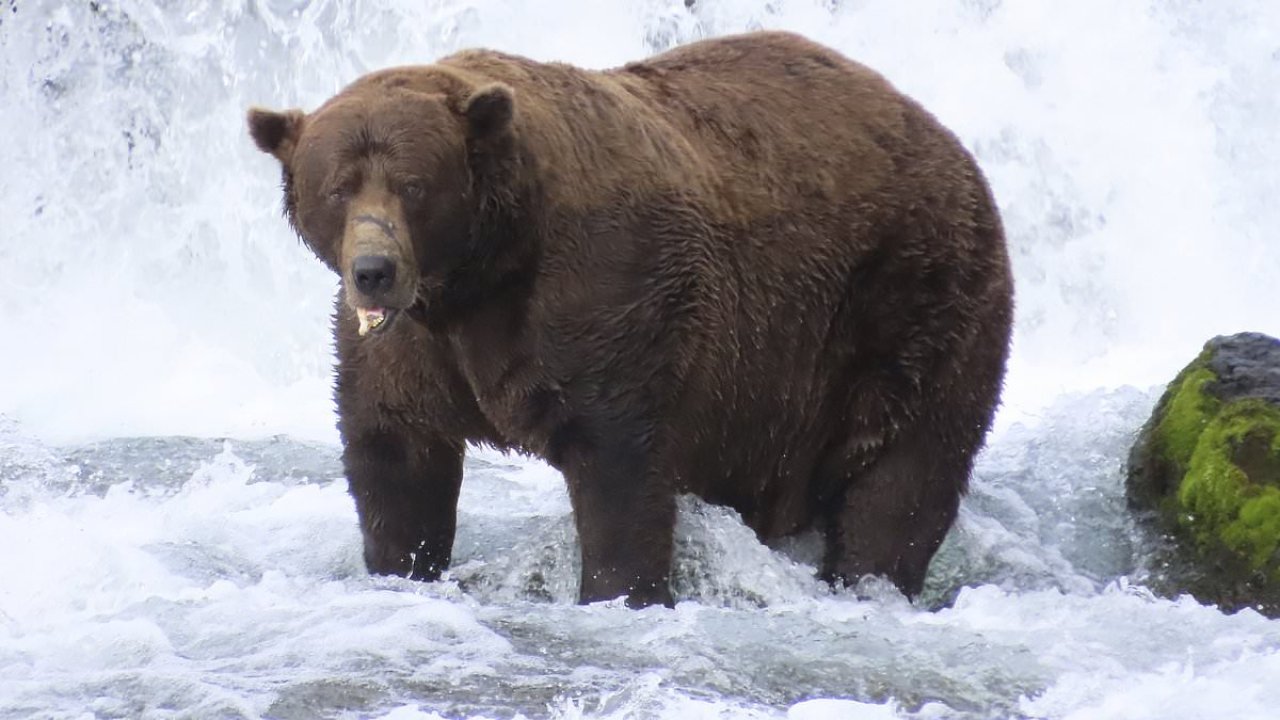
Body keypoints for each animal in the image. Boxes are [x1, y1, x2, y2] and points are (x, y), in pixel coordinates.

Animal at [247, 30, 1014, 608]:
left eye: (413, 185)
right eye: (338, 187)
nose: (374, 269)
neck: (479, 277)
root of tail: (946, 139)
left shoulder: (606, 295)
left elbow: (618, 464)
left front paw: (621, 591)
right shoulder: (410, 348)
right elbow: (395, 453)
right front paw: (401, 564)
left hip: (911, 301)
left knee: (904, 473)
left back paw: (869, 578)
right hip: (775, 391)